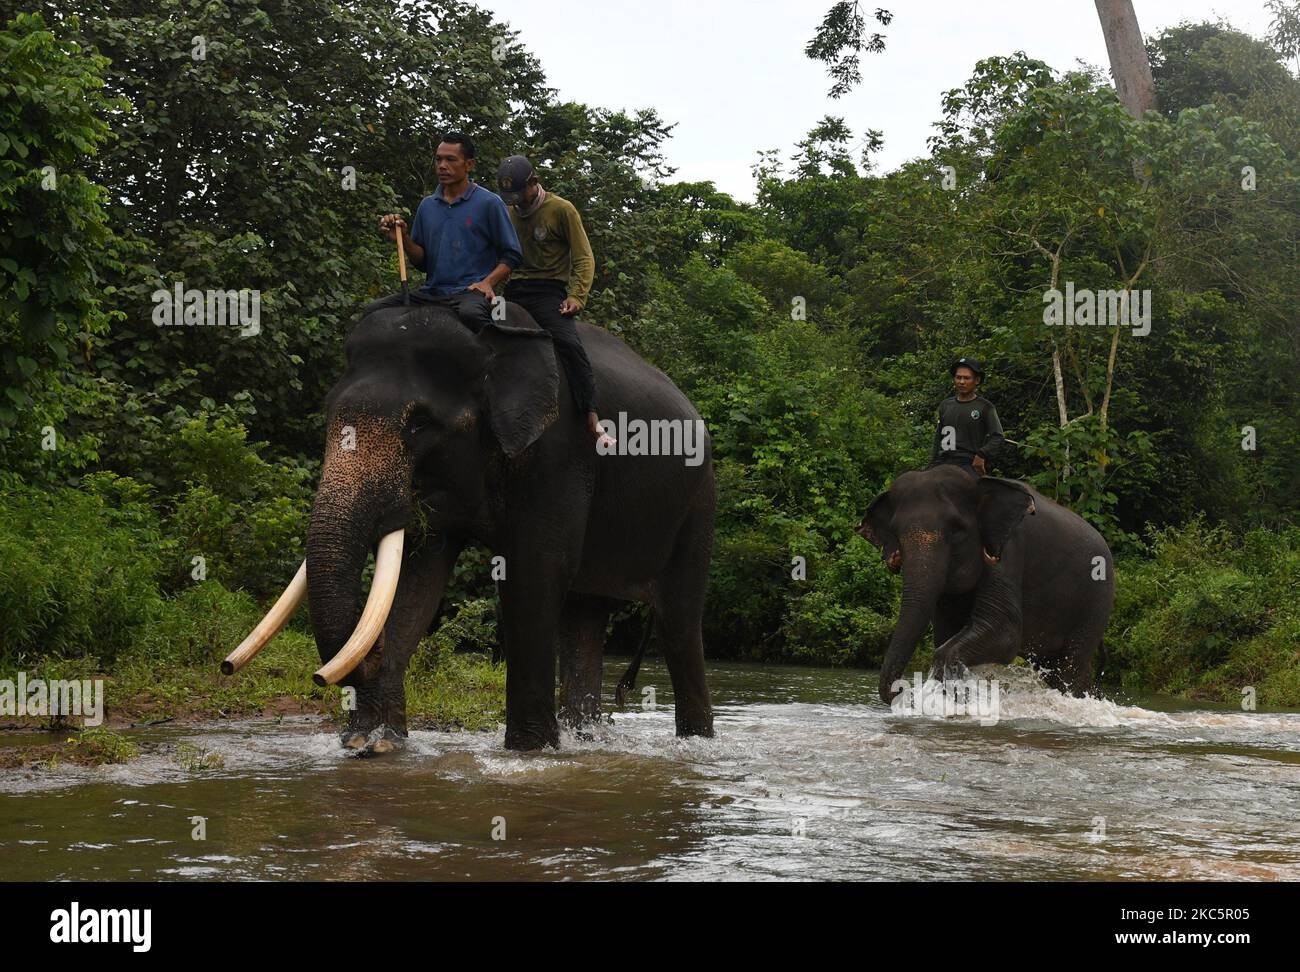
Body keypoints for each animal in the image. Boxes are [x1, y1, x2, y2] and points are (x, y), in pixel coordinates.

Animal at [224, 301, 715, 752]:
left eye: (420, 423)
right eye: (328, 414)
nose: (226, 668)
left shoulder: (559, 451)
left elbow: (534, 574)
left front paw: (529, 752)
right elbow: (418, 579)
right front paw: (375, 745)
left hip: (698, 502)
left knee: (678, 621)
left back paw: (695, 742)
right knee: (584, 615)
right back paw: (587, 740)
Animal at [858, 466, 1114, 704]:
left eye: (956, 530)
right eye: (895, 532)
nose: (903, 690)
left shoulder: (1008, 551)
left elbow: (1004, 632)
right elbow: (948, 632)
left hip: (1095, 602)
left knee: (1069, 668)